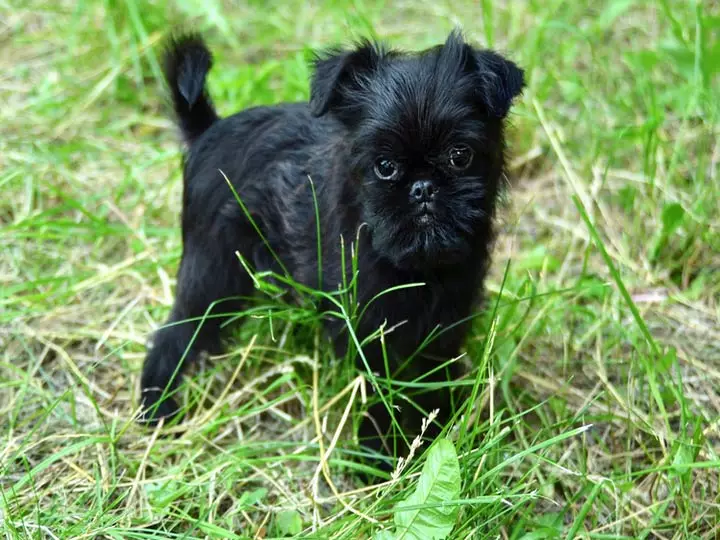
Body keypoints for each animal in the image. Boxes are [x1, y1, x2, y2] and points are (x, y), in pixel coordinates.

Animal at [141, 28, 524, 460]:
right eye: (385, 167)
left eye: (460, 156)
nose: (423, 187)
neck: (418, 266)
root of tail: (208, 130)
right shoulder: (368, 331)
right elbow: (379, 392)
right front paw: (379, 451)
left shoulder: (447, 322)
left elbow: (434, 379)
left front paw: (441, 430)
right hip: (212, 274)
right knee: (173, 337)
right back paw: (158, 409)